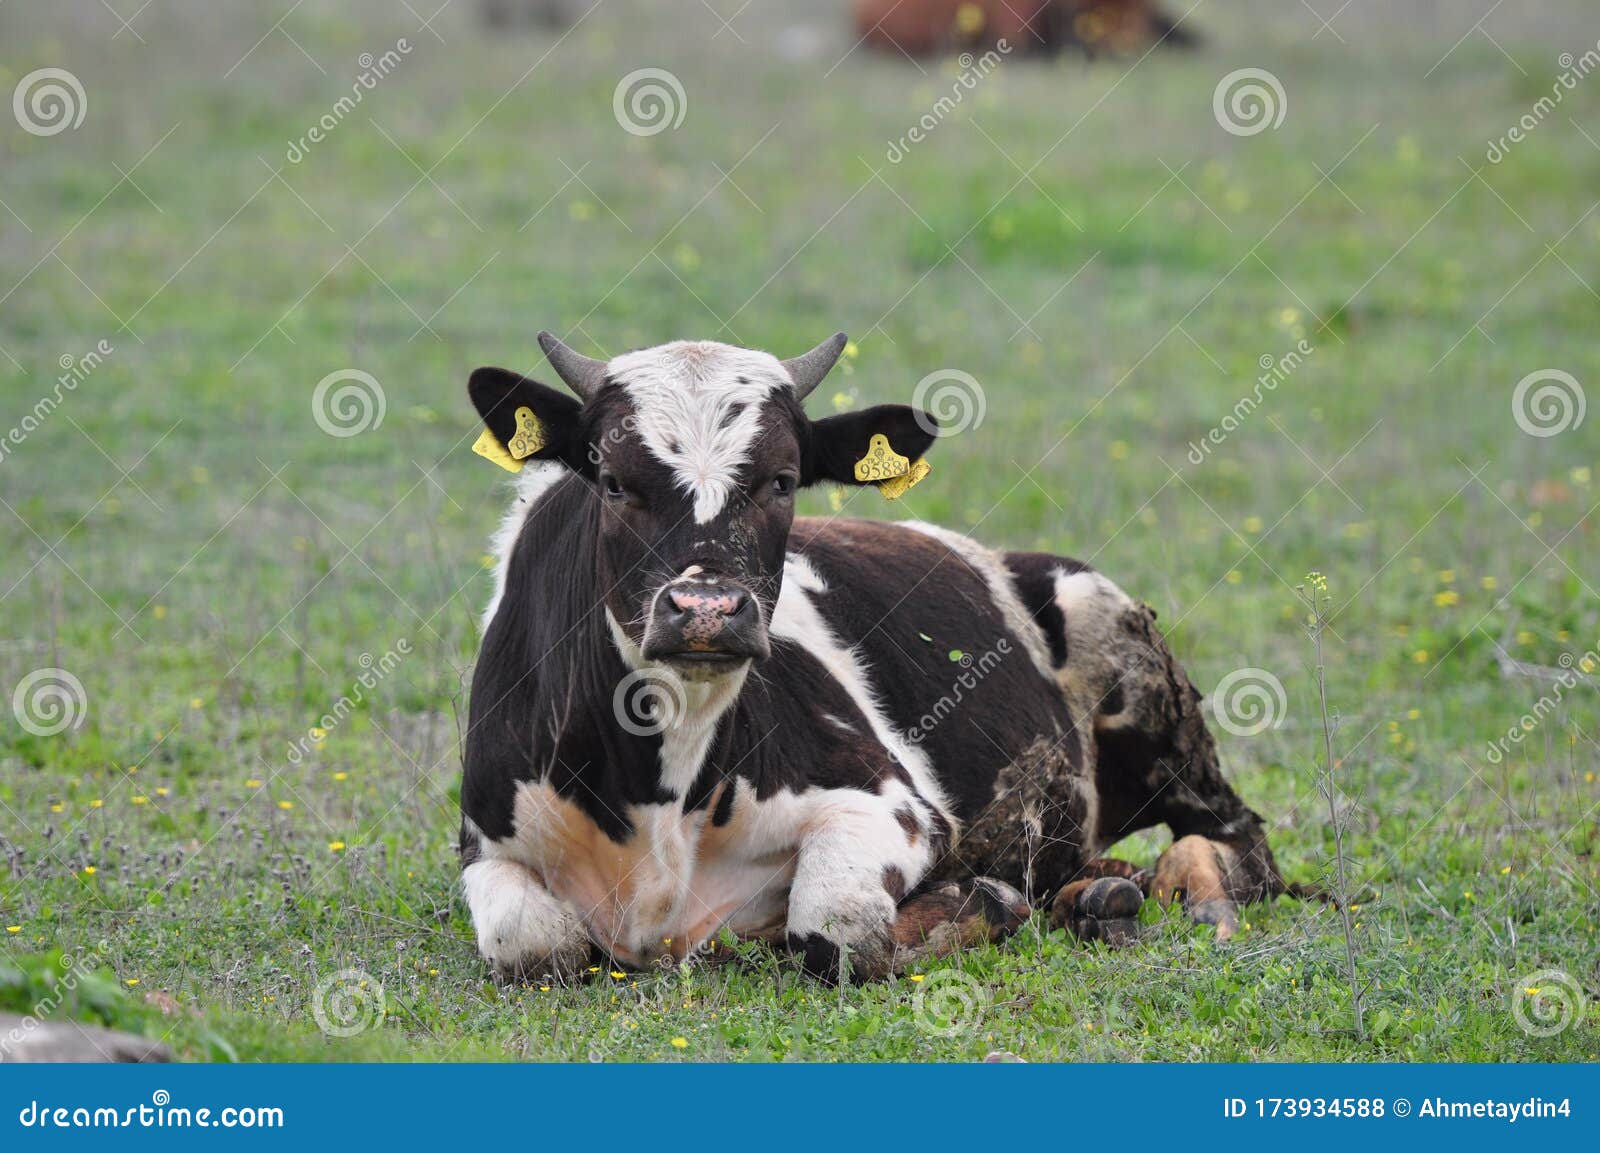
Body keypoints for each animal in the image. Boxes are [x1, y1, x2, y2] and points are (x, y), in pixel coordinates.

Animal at [458, 332, 1294, 983]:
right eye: (612, 479)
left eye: (783, 481)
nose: (706, 610)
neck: (656, 787)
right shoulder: (484, 840)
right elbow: (531, 944)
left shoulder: (893, 804)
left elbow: (835, 929)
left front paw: (981, 901)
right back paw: (1098, 894)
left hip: (1131, 660)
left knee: (1239, 838)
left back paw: (1188, 891)